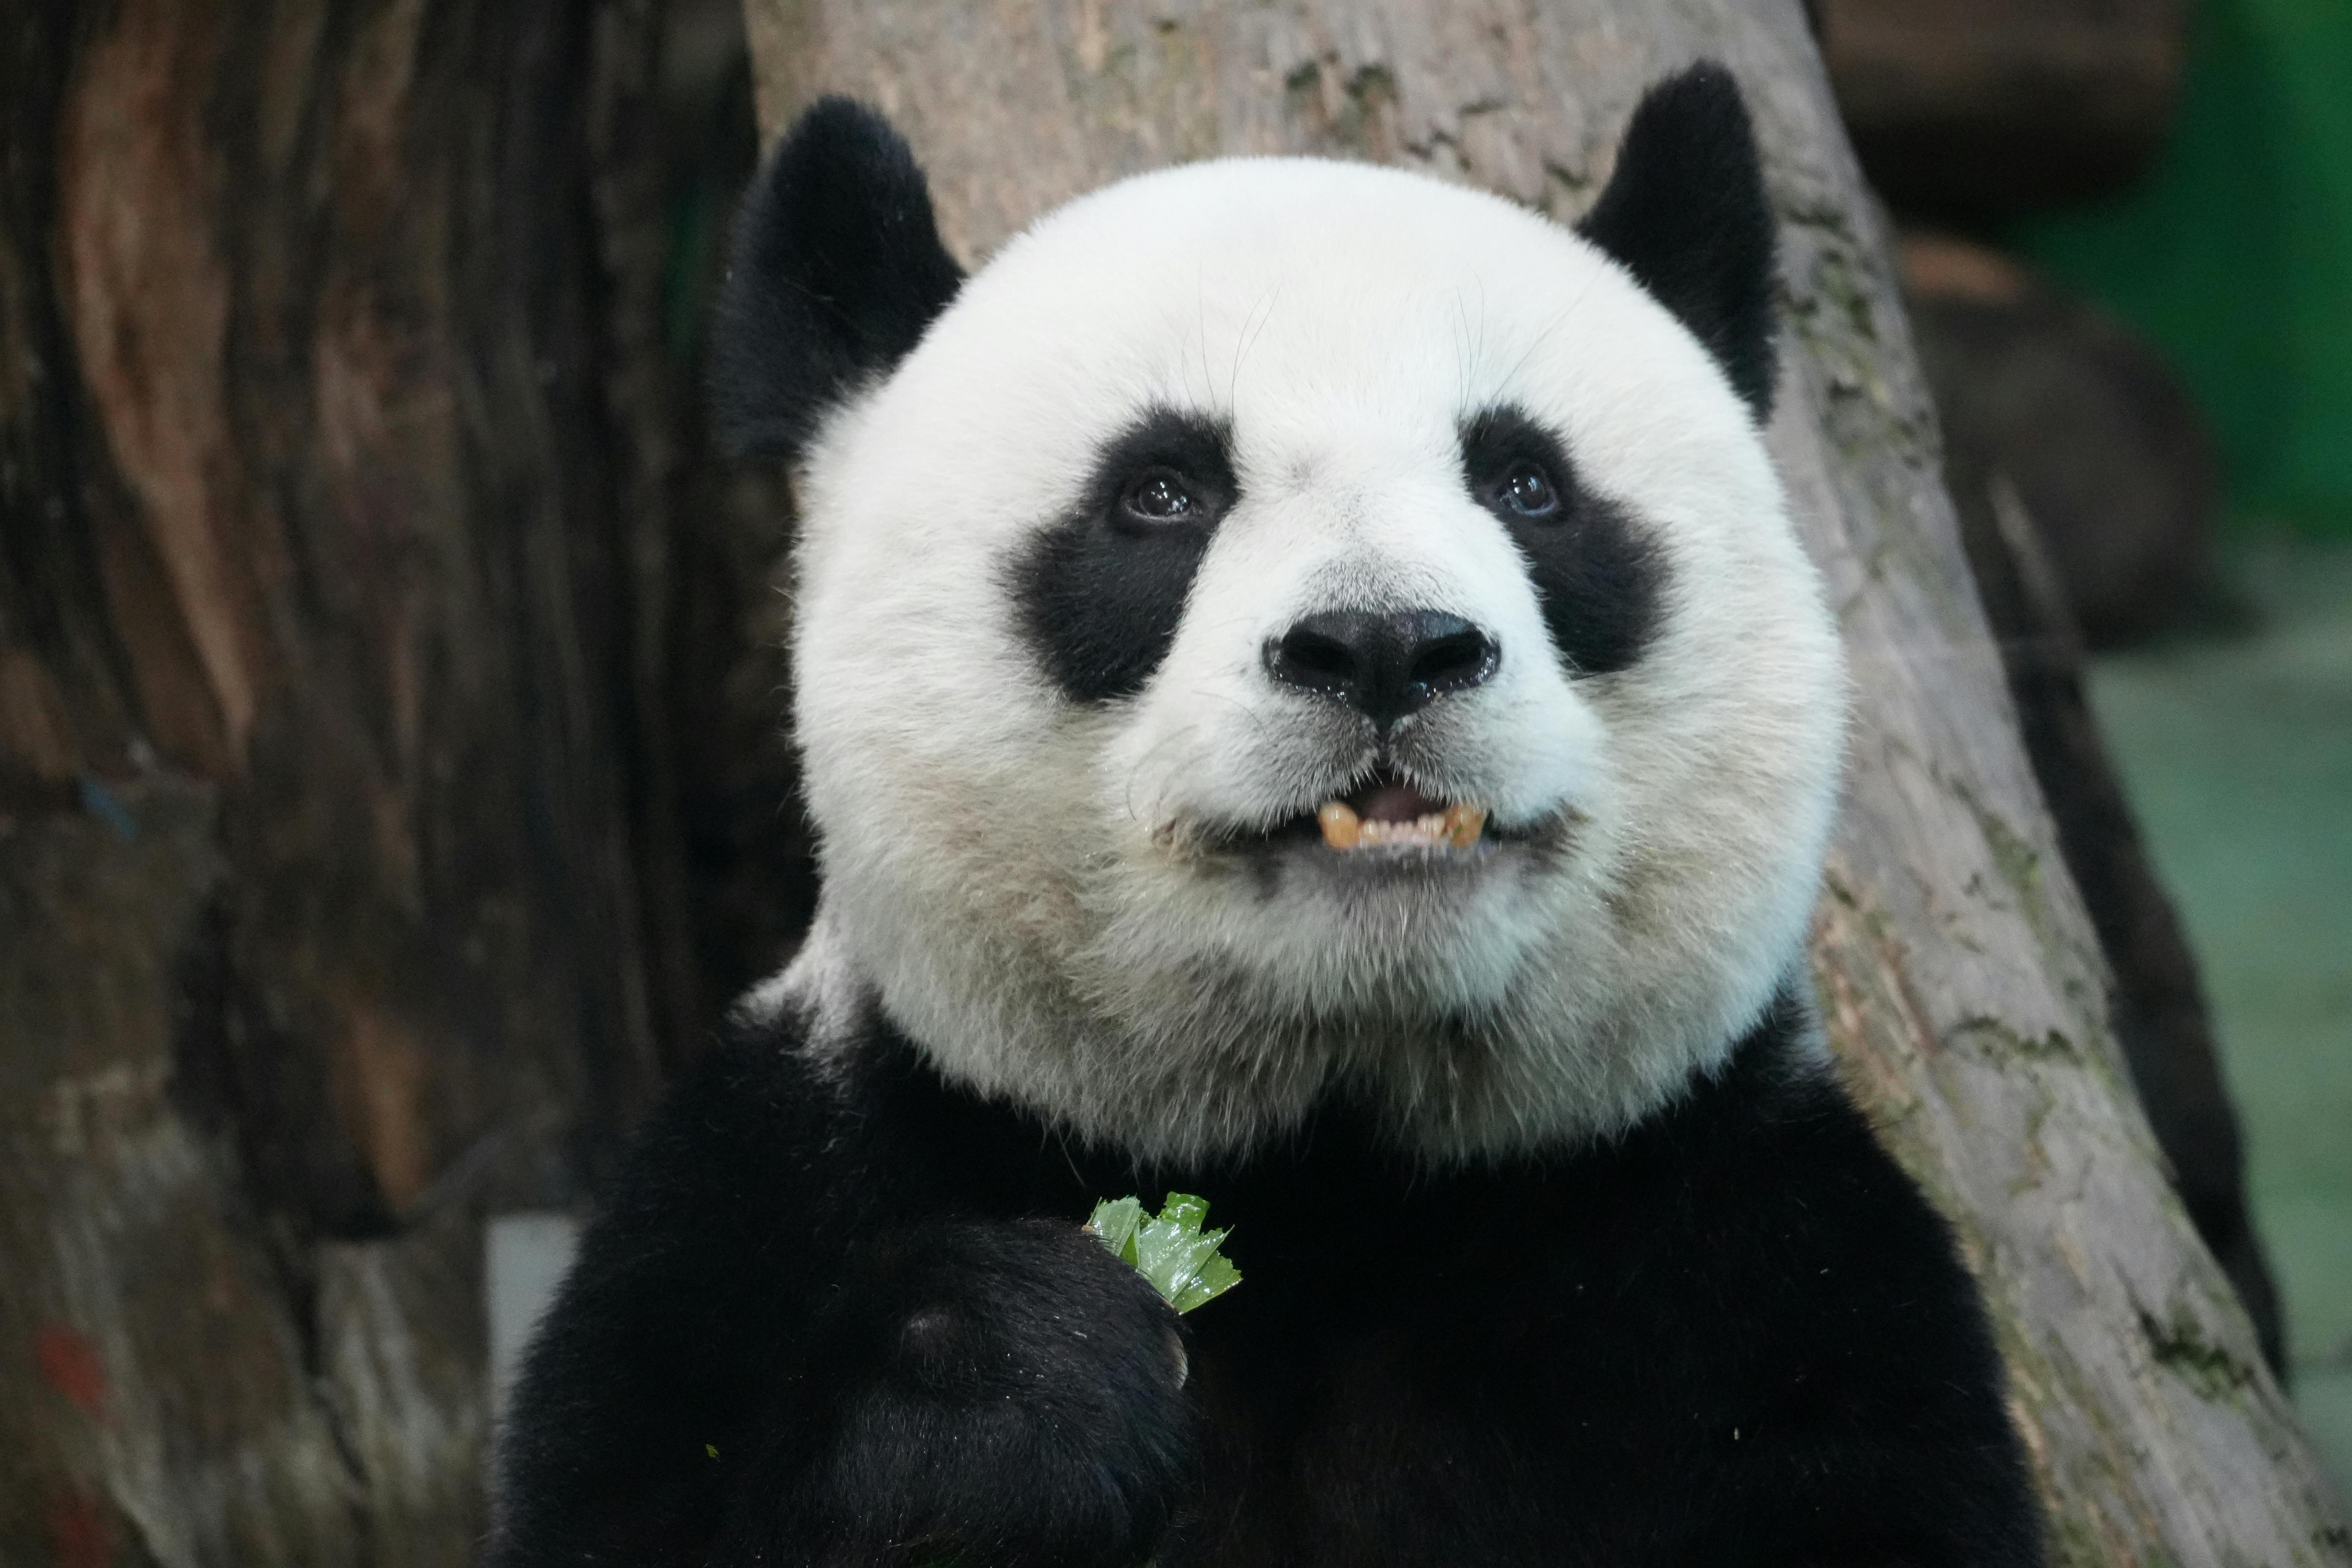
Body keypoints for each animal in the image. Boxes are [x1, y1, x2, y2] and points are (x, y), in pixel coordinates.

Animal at [491, 64, 2046, 1568]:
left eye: (1527, 483)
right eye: (1161, 491)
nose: (1385, 646)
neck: (1324, 1174)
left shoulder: (1748, 1266)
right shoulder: (778, 1192)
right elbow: (657, 1479)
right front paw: (1009, 1382)